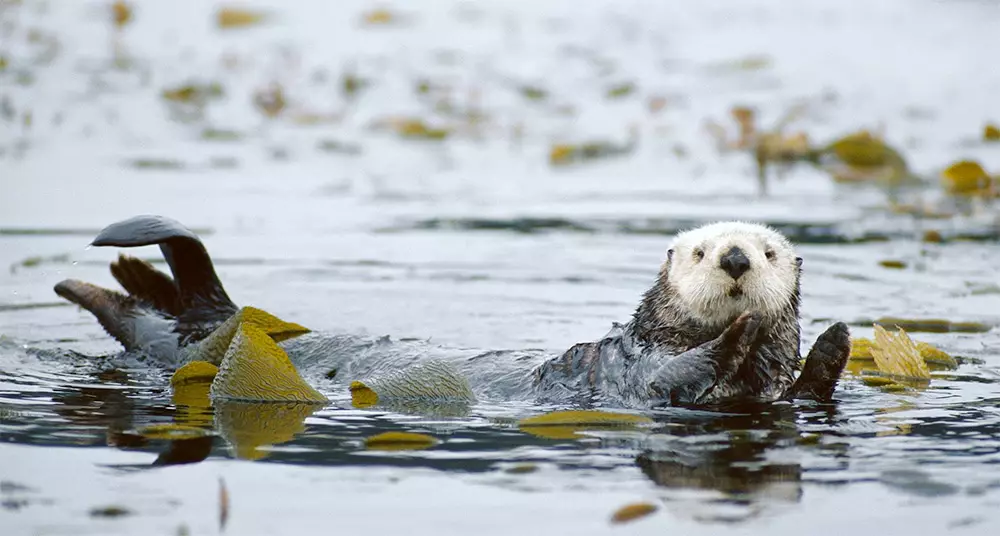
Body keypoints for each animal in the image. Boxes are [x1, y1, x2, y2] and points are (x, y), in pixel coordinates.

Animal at [536, 221, 856, 406]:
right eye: (699, 253)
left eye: (769, 254)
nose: (735, 258)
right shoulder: (641, 358)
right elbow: (661, 380)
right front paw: (739, 331)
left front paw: (833, 342)